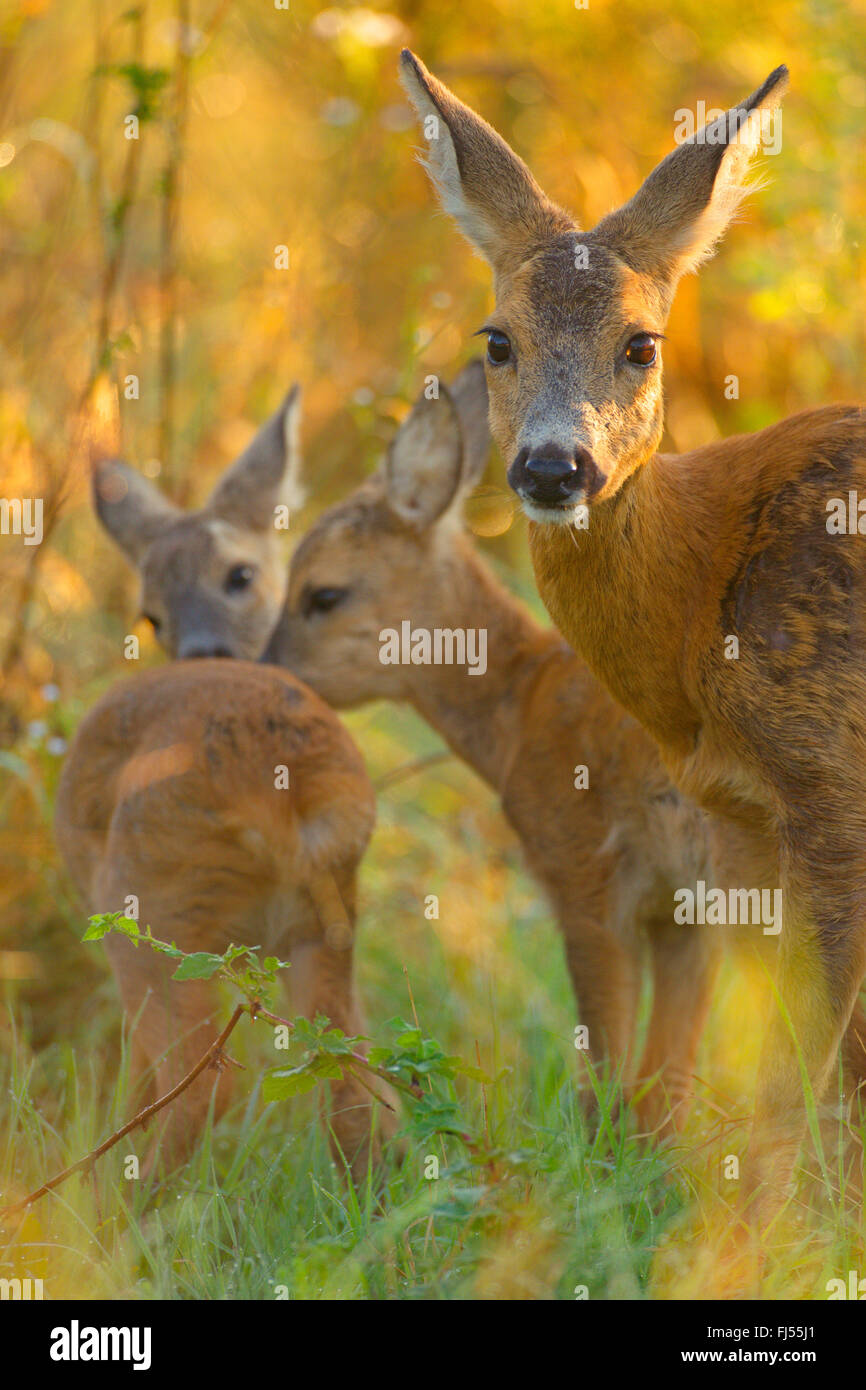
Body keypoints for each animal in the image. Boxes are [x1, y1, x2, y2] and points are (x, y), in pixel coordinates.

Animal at [398, 51, 866, 1223]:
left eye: (640, 344)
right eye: (498, 340)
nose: (553, 466)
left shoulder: (831, 772)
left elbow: (818, 1049)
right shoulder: (739, 811)